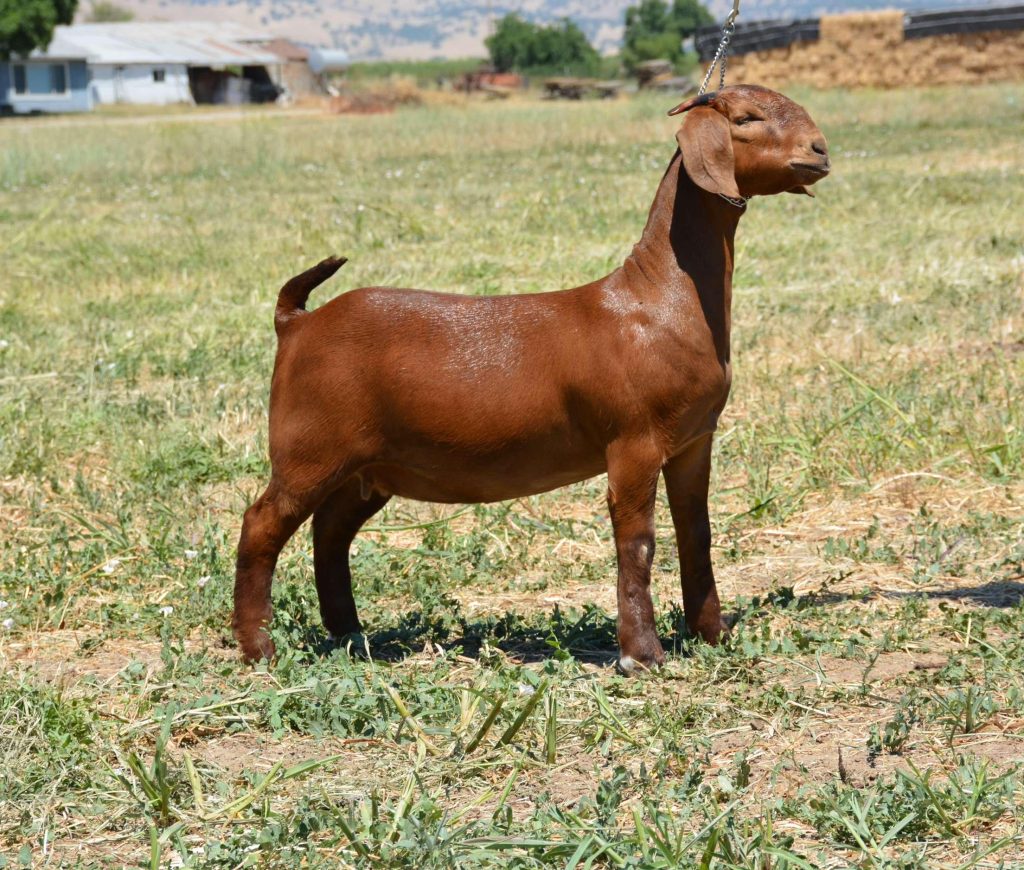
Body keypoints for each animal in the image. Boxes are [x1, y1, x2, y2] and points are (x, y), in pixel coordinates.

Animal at [233, 84, 830, 672]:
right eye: (747, 118)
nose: (821, 149)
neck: (657, 297)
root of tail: (296, 321)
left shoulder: (693, 438)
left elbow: (696, 532)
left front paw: (713, 635)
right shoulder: (633, 441)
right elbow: (638, 543)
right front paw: (641, 655)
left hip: (370, 466)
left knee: (330, 531)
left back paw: (350, 634)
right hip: (309, 449)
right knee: (262, 523)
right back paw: (259, 649)